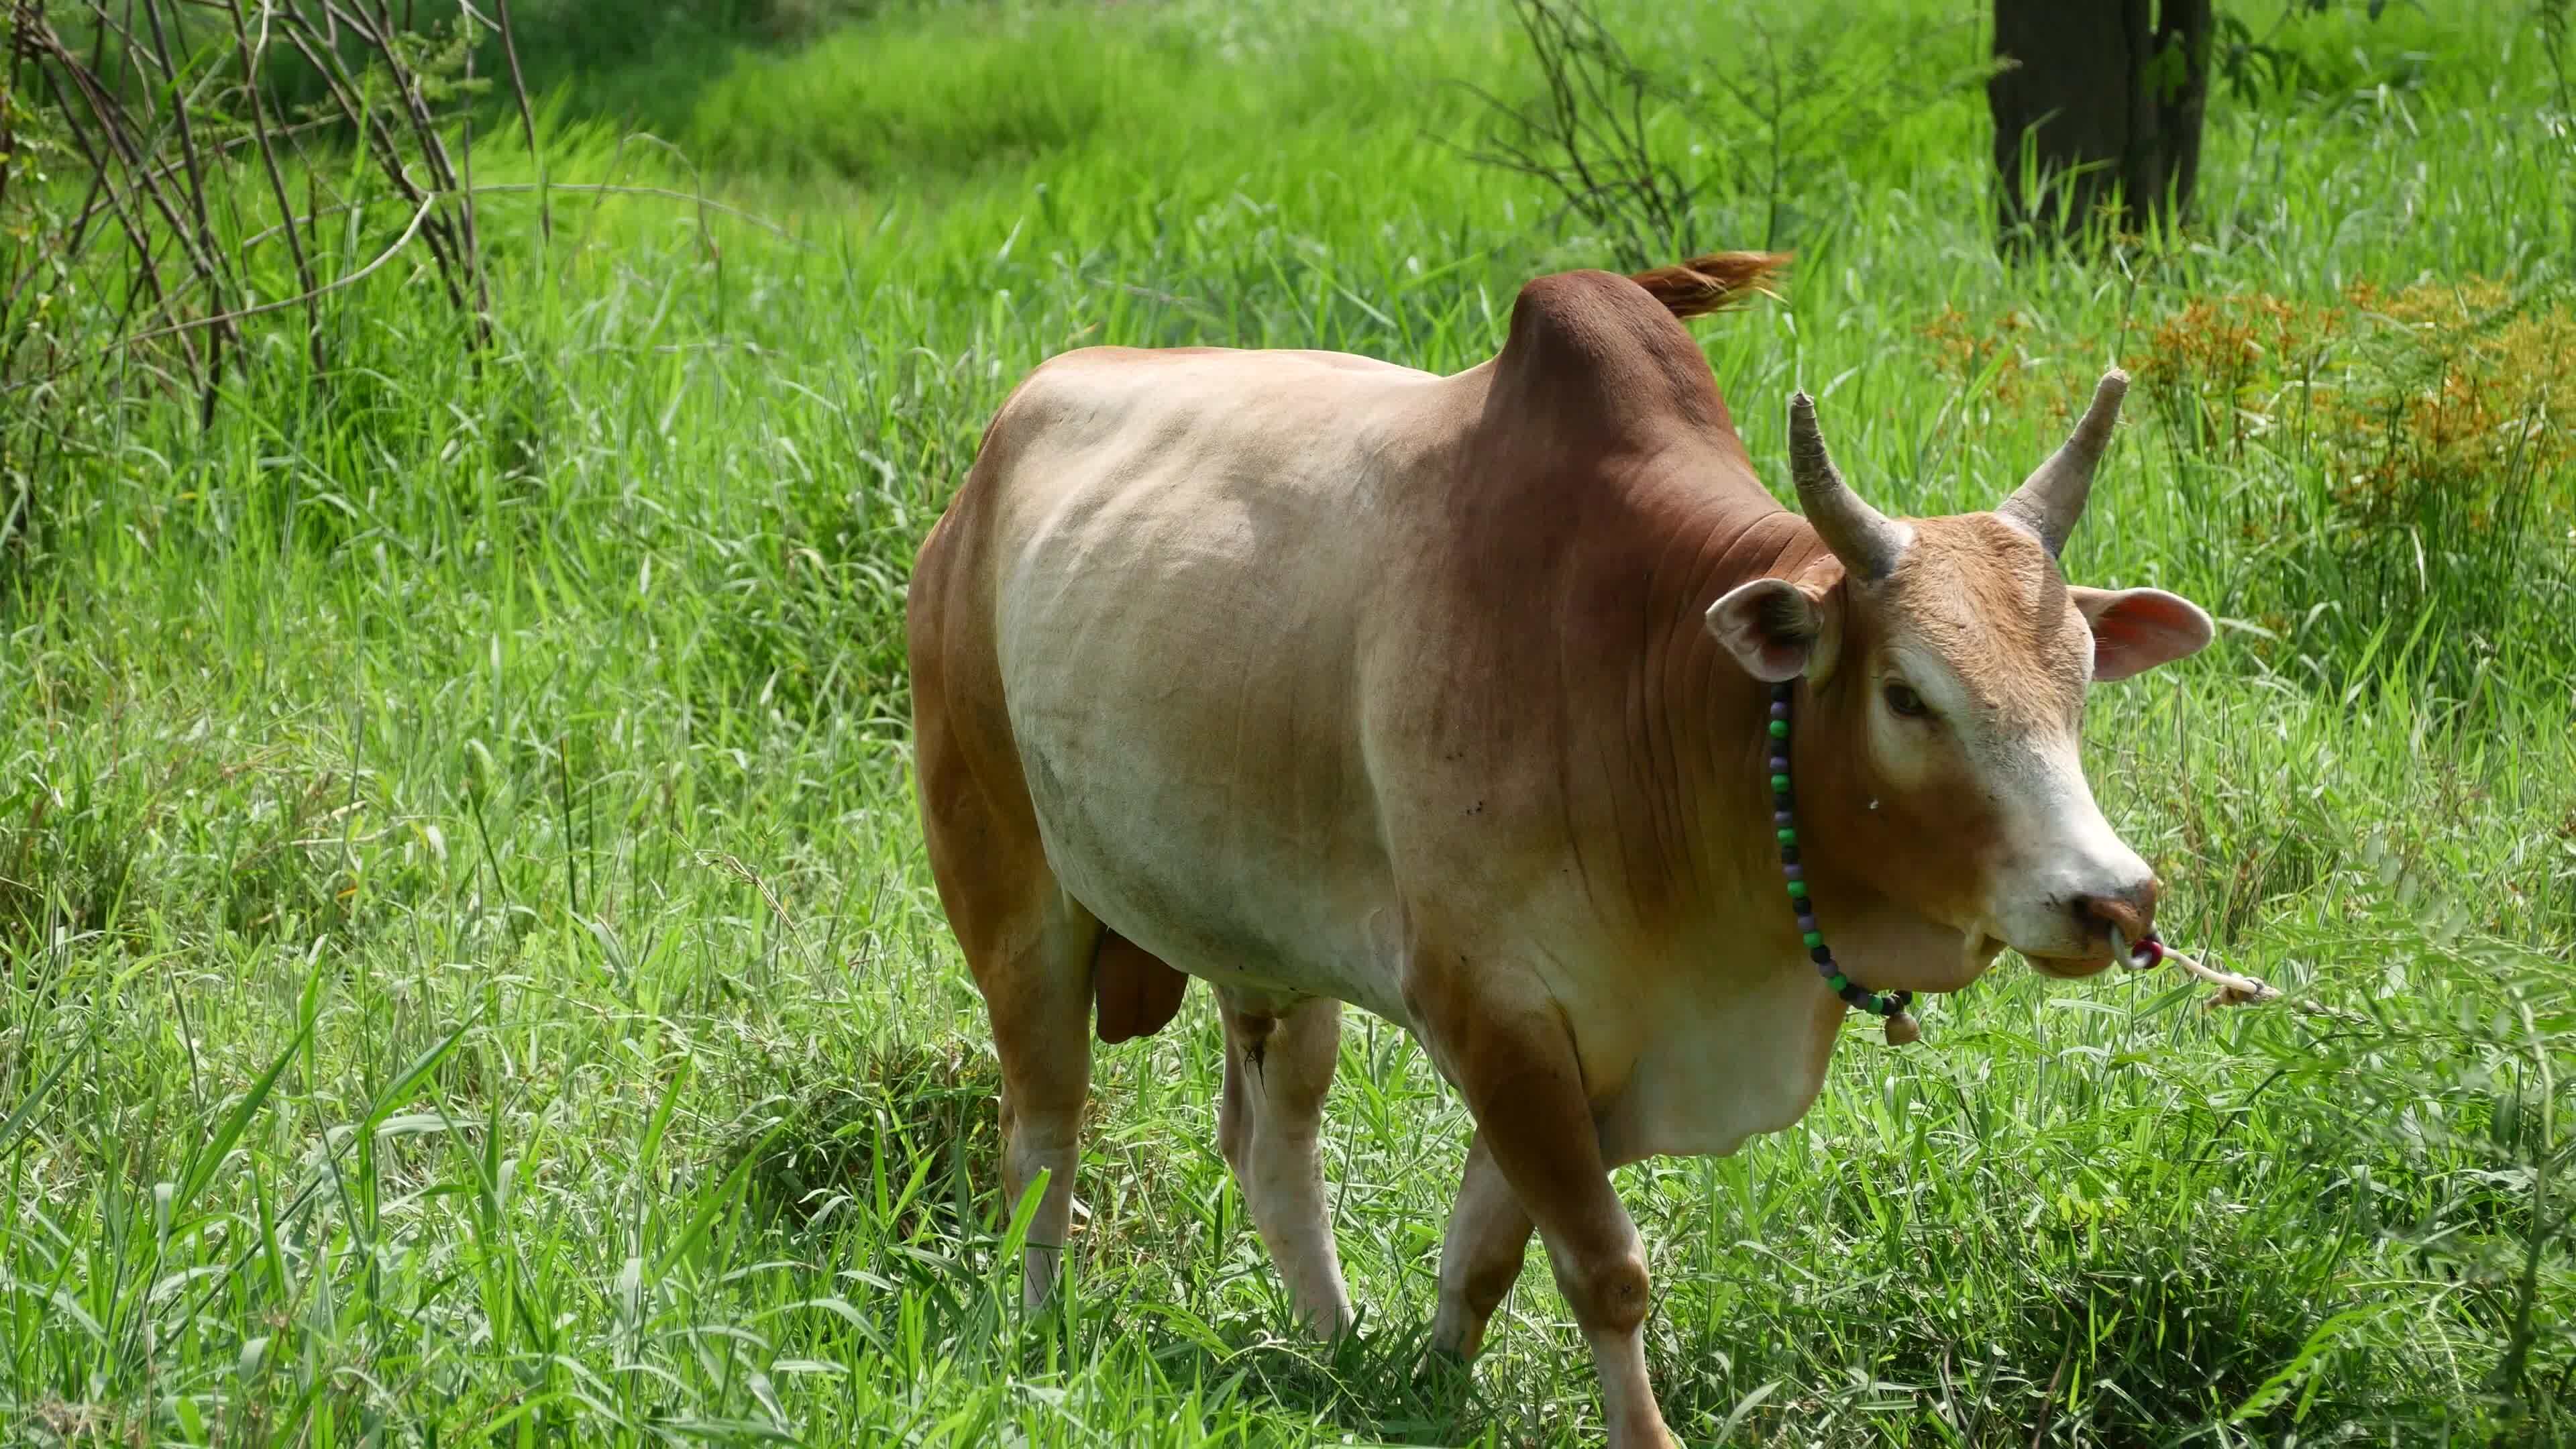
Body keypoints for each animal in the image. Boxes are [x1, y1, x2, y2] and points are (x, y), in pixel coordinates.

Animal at [902, 252, 2213, 1446]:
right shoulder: (1499, 1016)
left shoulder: (1584, 1056)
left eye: (2079, 681)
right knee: (1042, 1134)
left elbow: (1483, 1256)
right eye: (1907, 694)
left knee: (1273, 1150)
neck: (1671, 685)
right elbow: (1605, 1271)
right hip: (1006, 888)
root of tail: (984, 471)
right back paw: (1039, 1327)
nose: (2111, 899)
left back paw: (1332, 1345)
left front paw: (1427, 1392)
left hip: (1269, 951)